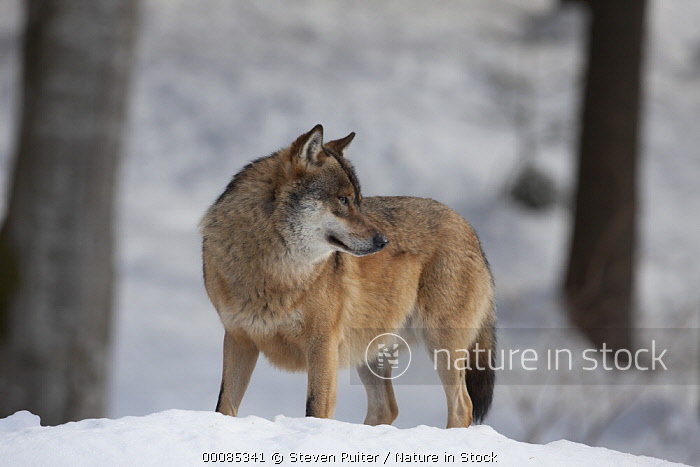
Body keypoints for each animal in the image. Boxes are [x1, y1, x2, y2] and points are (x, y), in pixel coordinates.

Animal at [200, 125, 496, 428]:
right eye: (343, 200)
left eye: (359, 201)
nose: (383, 241)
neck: (273, 271)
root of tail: (467, 226)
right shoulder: (238, 338)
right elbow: (224, 406)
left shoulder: (323, 345)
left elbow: (316, 408)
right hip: (371, 351)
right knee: (387, 407)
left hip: (440, 343)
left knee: (462, 405)